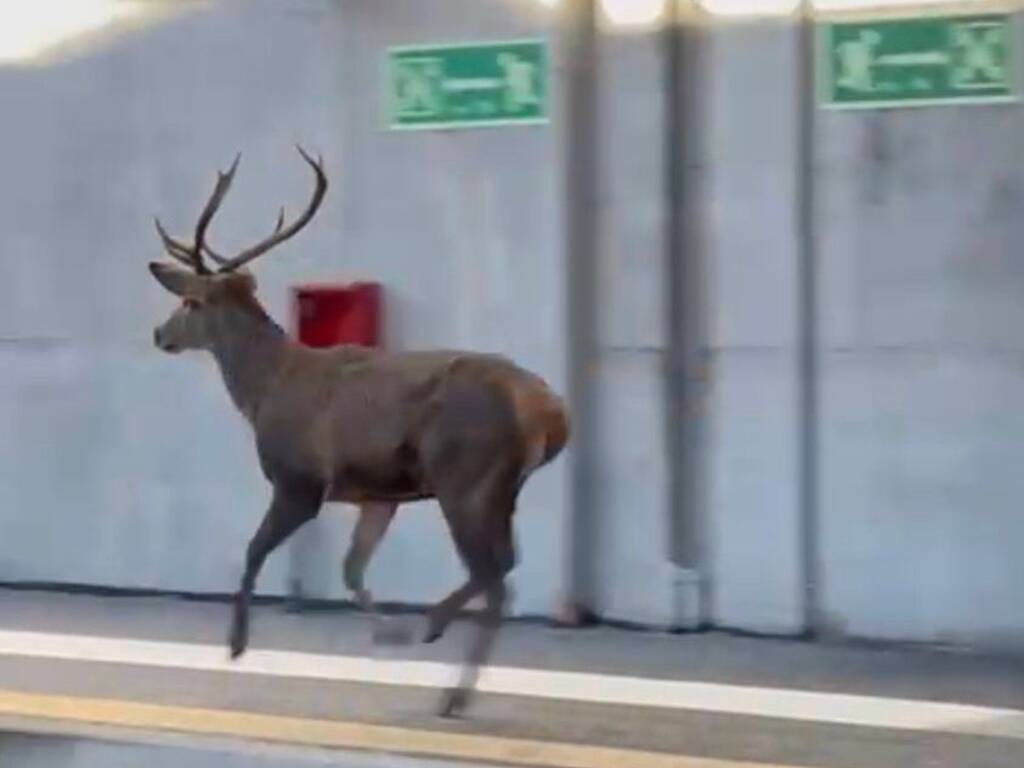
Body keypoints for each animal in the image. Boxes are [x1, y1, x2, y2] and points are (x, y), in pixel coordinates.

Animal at [146, 147, 570, 717]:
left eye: (191, 302)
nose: (159, 333)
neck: (265, 389)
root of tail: (551, 411)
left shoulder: (299, 479)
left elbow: (255, 550)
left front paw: (236, 644)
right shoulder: (376, 493)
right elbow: (352, 569)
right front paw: (386, 630)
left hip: (465, 473)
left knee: (495, 572)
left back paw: (445, 672)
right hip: (500, 486)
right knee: (504, 568)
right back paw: (439, 653)